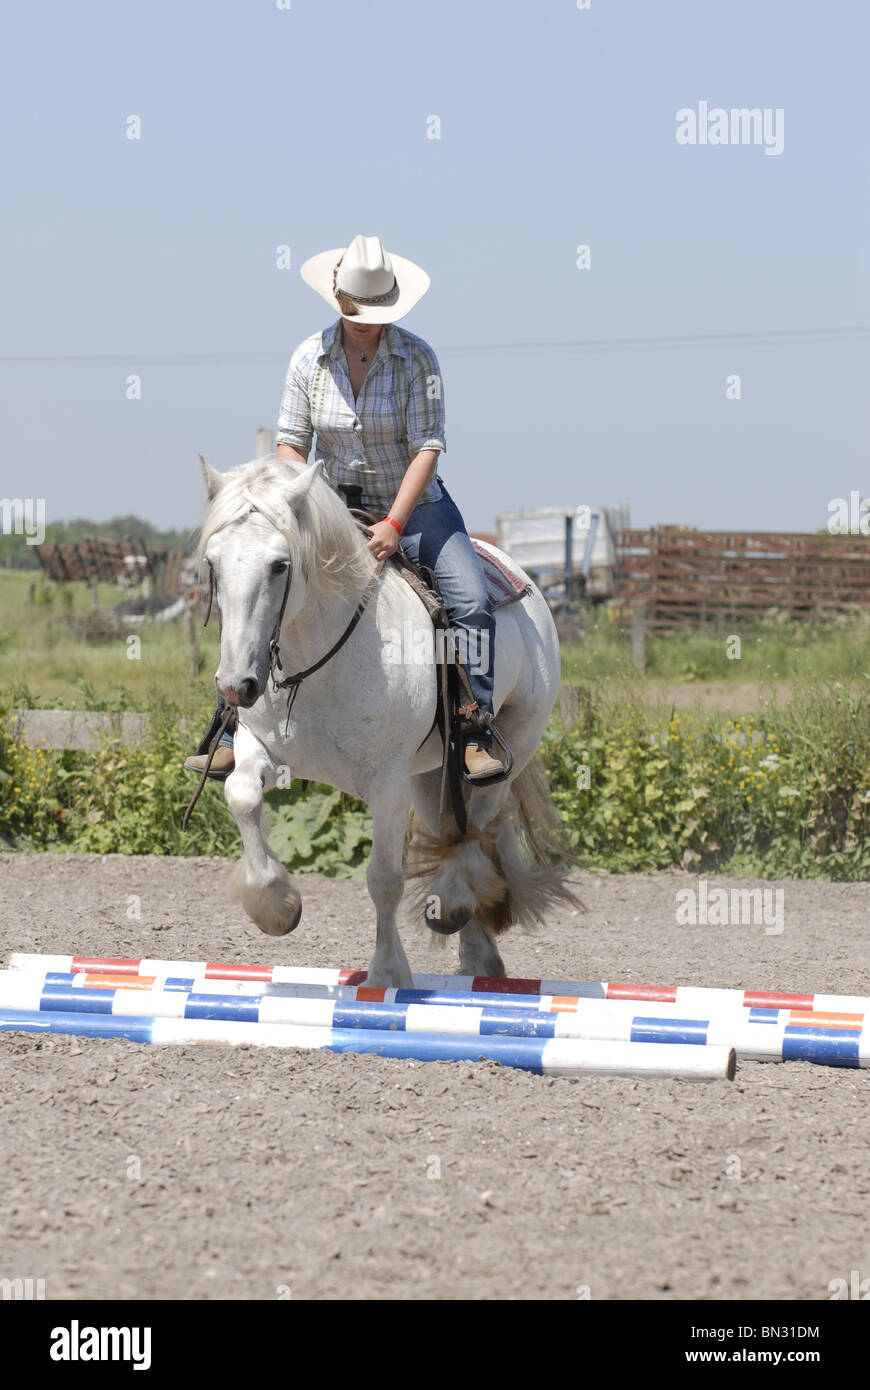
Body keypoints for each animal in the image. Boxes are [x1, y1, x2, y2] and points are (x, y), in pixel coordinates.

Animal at [198, 453, 581, 987]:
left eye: (279, 565)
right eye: (213, 564)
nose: (237, 685)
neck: (322, 659)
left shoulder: (387, 782)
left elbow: (383, 879)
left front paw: (386, 973)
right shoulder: (264, 749)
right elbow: (241, 795)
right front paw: (275, 905)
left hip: (511, 746)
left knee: (478, 829)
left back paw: (454, 904)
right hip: (431, 774)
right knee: (454, 832)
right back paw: (477, 953)